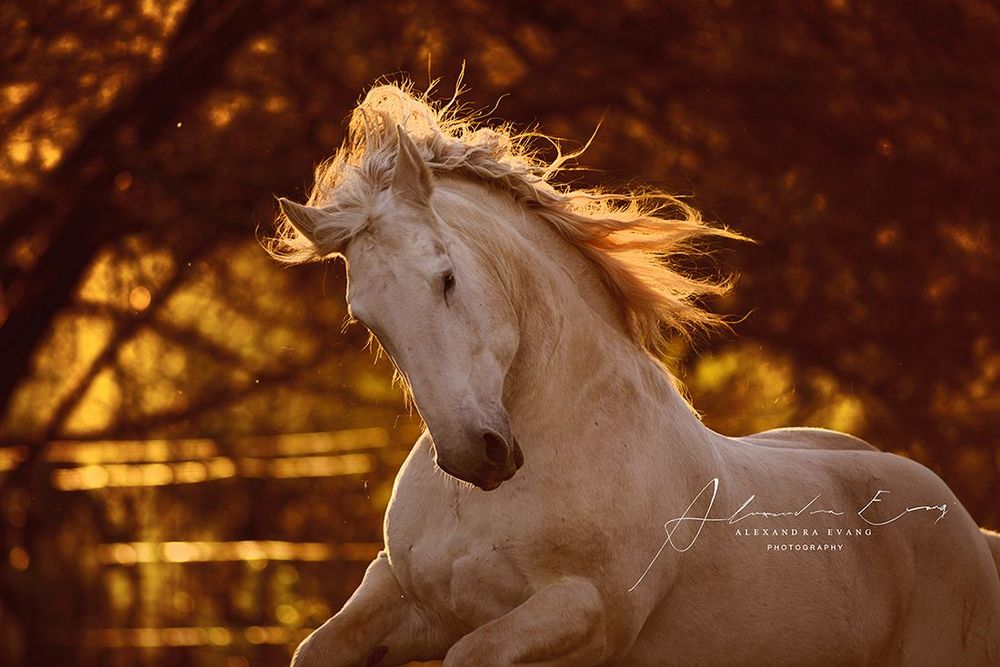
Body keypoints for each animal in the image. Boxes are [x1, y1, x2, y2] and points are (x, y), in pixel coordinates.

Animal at [268, 83, 1000, 666]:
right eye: (366, 318)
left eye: (445, 277)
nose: (477, 455)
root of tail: (972, 535)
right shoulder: (404, 596)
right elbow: (316, 648)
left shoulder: (588, 615)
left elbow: (472, 651)